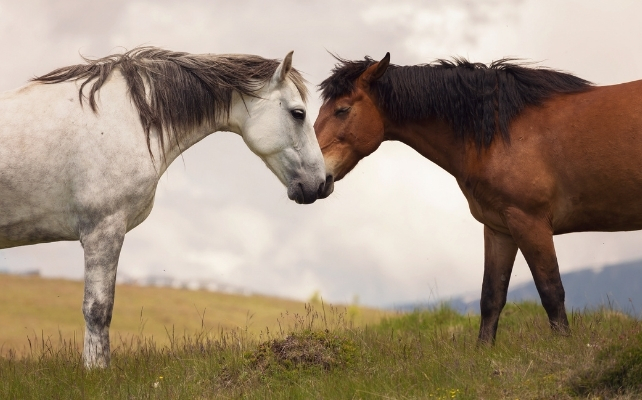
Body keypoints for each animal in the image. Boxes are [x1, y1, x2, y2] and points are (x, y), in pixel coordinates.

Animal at [0, 47, 326, 368]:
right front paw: (96, 371)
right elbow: (98, 309)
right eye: (298, 113)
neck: (125, 118)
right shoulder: (103, 230)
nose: (321, 183)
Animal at [314, 52, 642, 344]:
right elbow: (491, 297)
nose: (314, 177)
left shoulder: (530, 223)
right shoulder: (499, 229)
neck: (498, 132)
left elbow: (551, 291)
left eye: (342, 110)